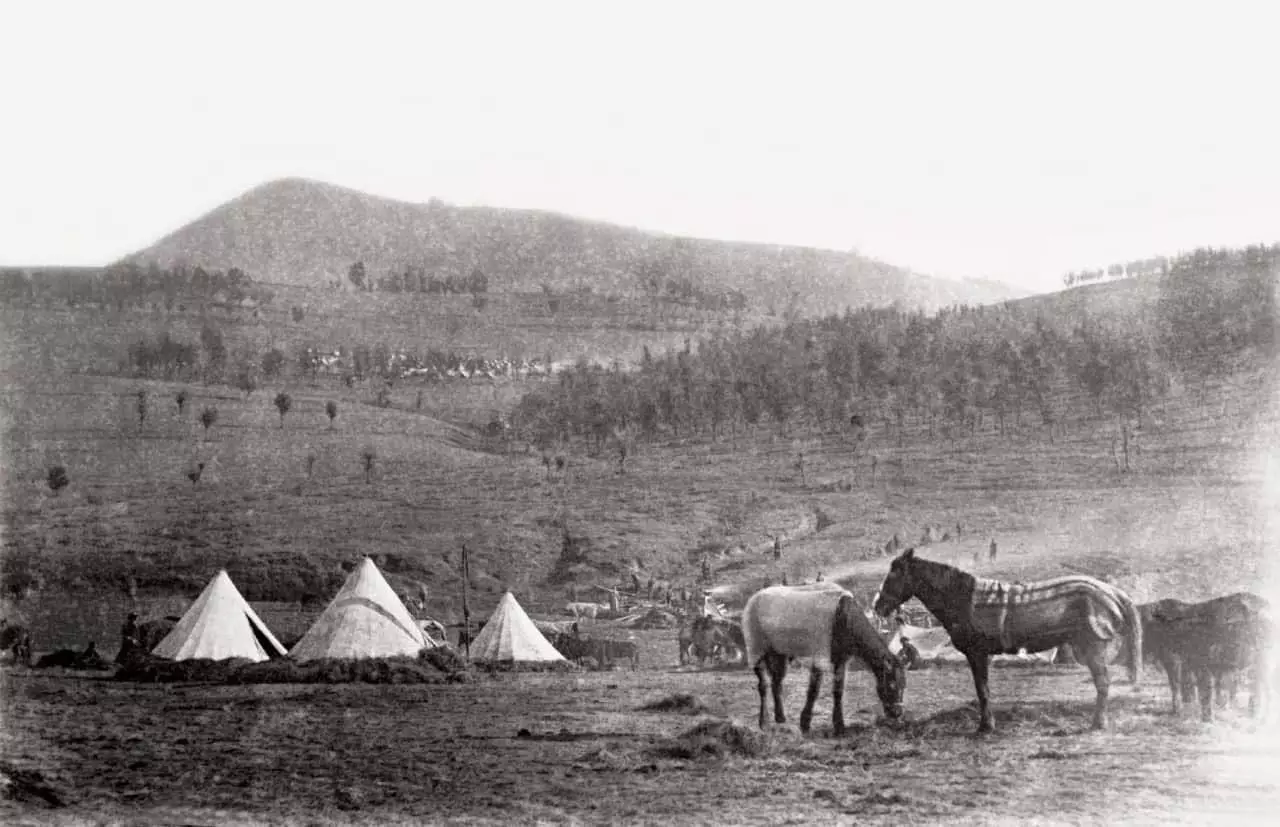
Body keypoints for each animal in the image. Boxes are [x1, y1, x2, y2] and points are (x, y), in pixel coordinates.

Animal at [742, 583, 911, 737]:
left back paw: (780, 718)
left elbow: (838, 690)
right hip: (755, 648)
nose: (897, 712)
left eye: (904, 685)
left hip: (779, 652)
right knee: (763, 685)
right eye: (891, 685)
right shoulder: (819, 654)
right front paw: (805, 723)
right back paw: (763, 721)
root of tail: (753, 598)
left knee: (777, 683)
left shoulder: (841, 659)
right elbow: (813, 691)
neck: (843, 615)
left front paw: (839, 725)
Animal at [870, 550, 1141, 732]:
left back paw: (1098, 723)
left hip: (1092, 648)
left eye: (893, 576)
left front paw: (985, 725)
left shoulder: (977, 653)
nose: (878, 606)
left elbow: (982, 690)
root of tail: (1113, 592)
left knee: (1103, 684)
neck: (962, 597)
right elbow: (984, 690)